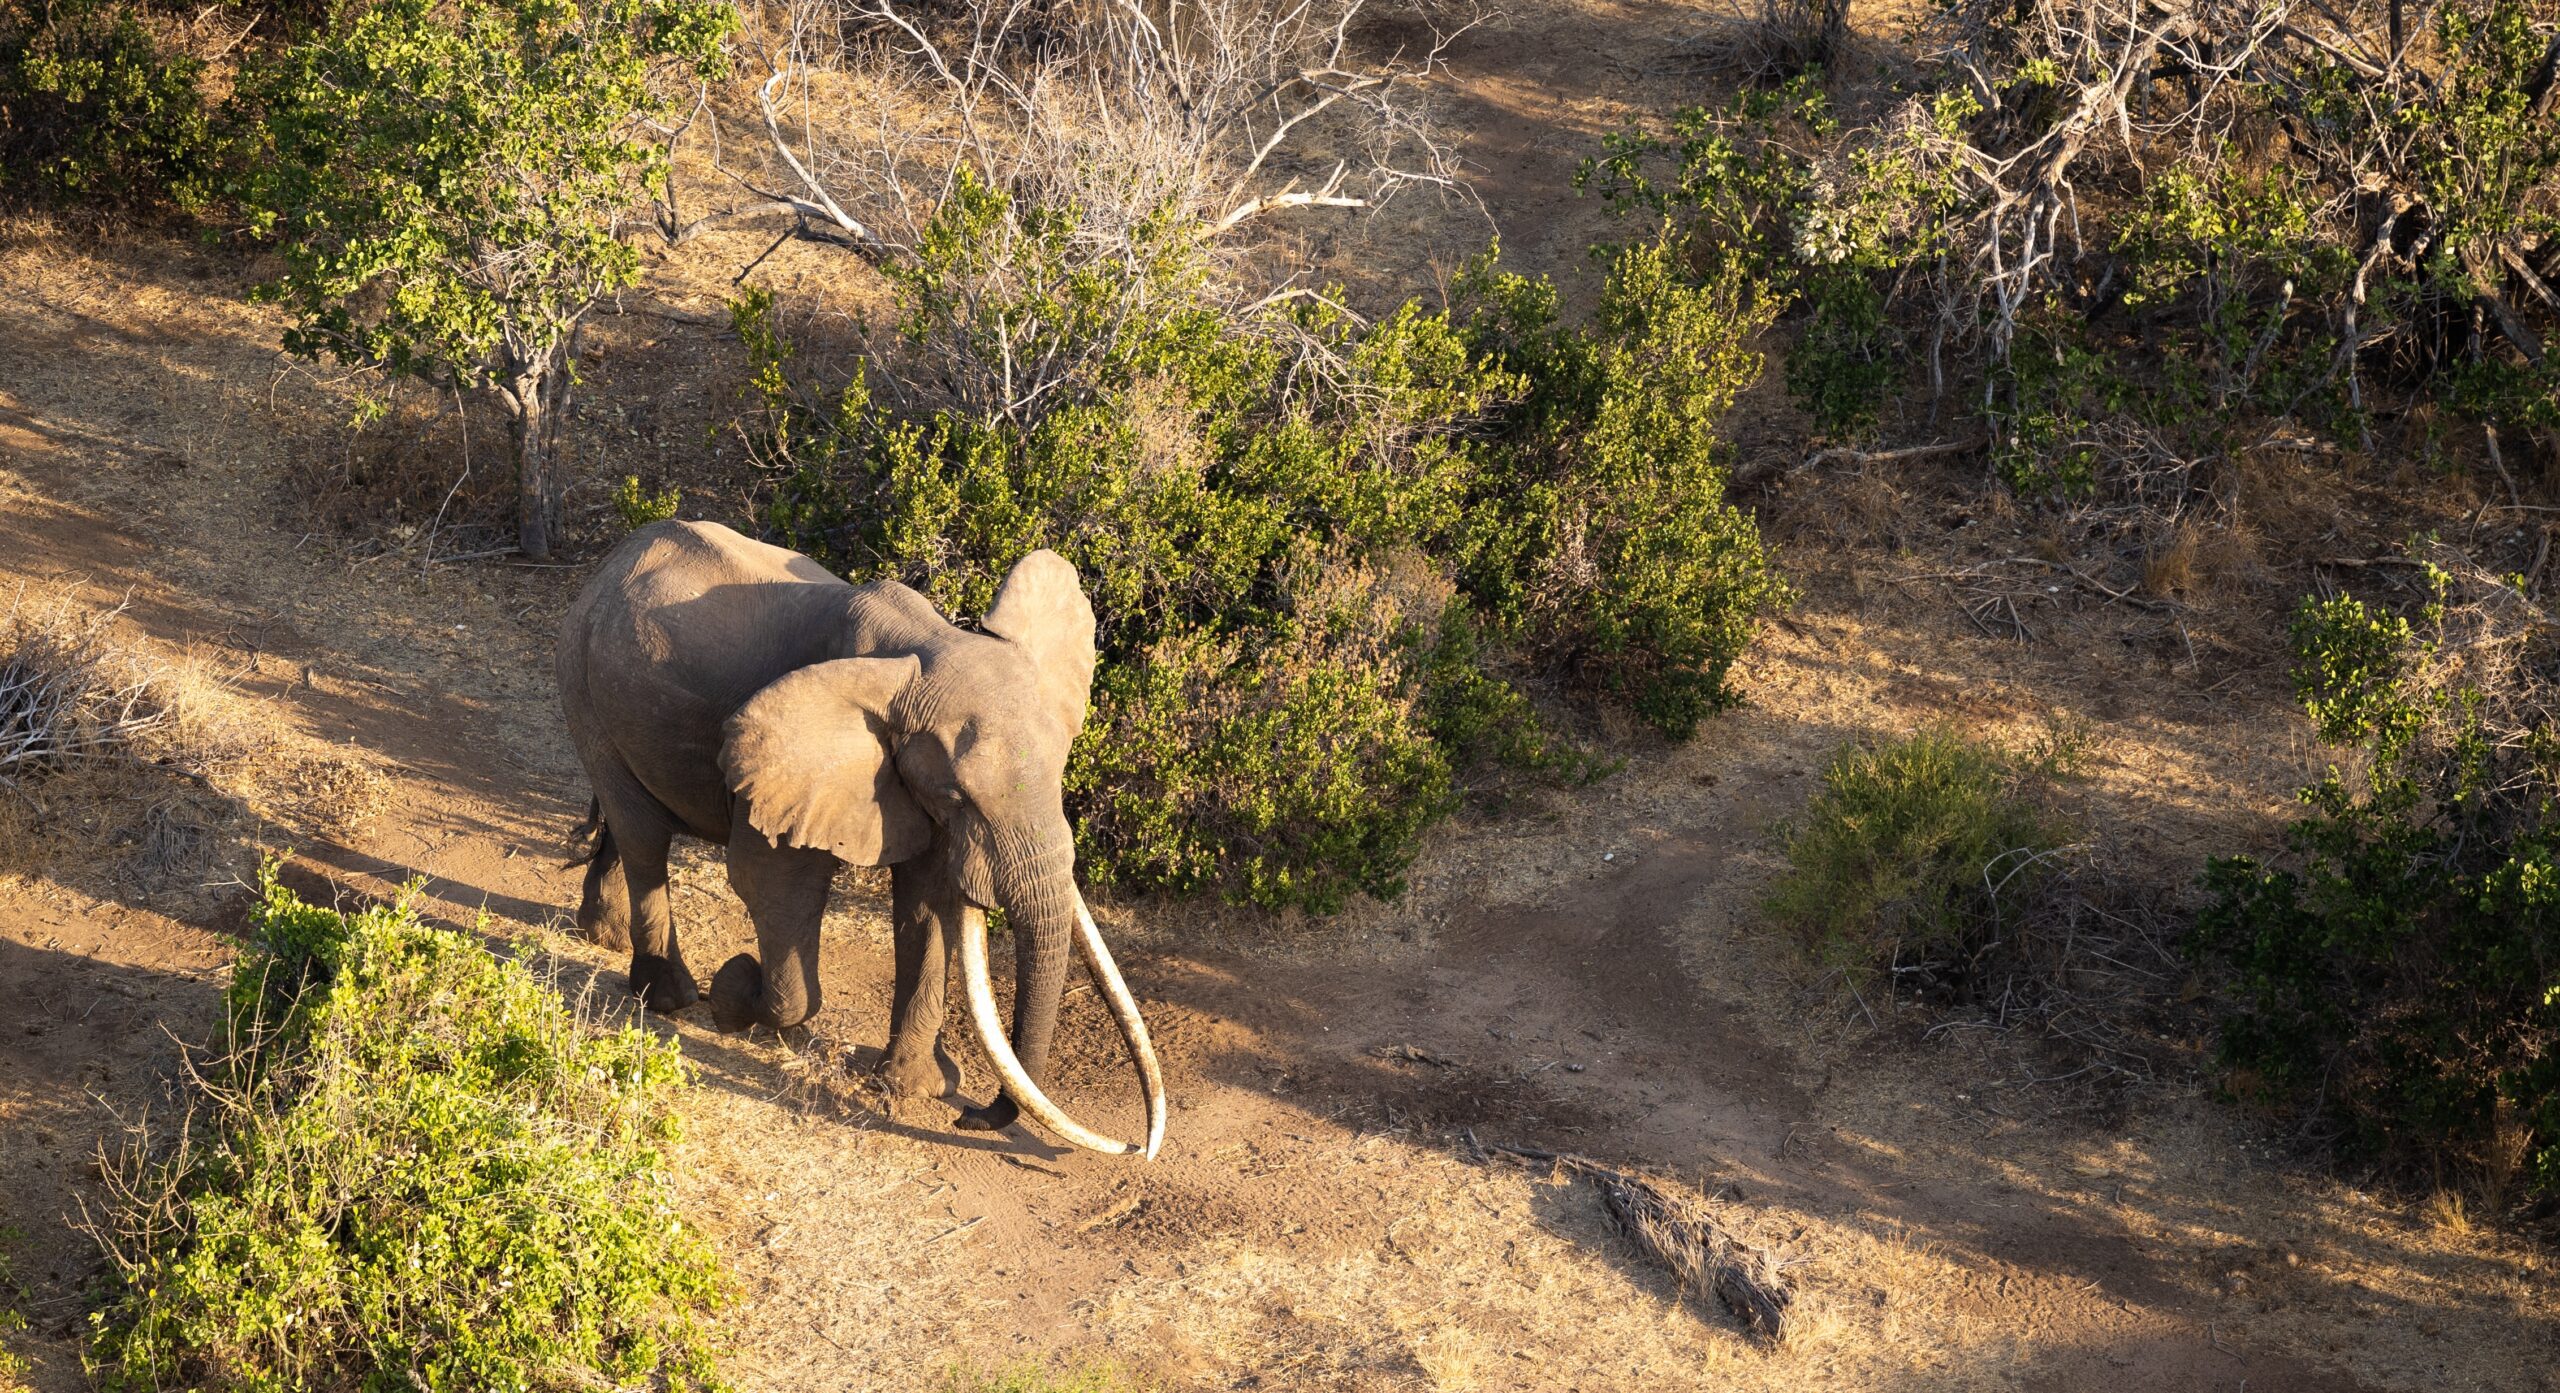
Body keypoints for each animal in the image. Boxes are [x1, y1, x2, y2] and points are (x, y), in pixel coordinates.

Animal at [555, 520, 1166, 1158]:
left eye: (1062, 769)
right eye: (958, 796)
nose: (969, 1118)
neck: (924, 639)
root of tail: (617, 556)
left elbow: (925, 901)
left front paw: (916, 1087)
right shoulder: (788, 757)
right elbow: (774, 887)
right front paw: (732, 994)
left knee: (627, 827)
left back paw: (603, 936)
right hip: (581, 680)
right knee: (643, 835)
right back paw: (669, 997)